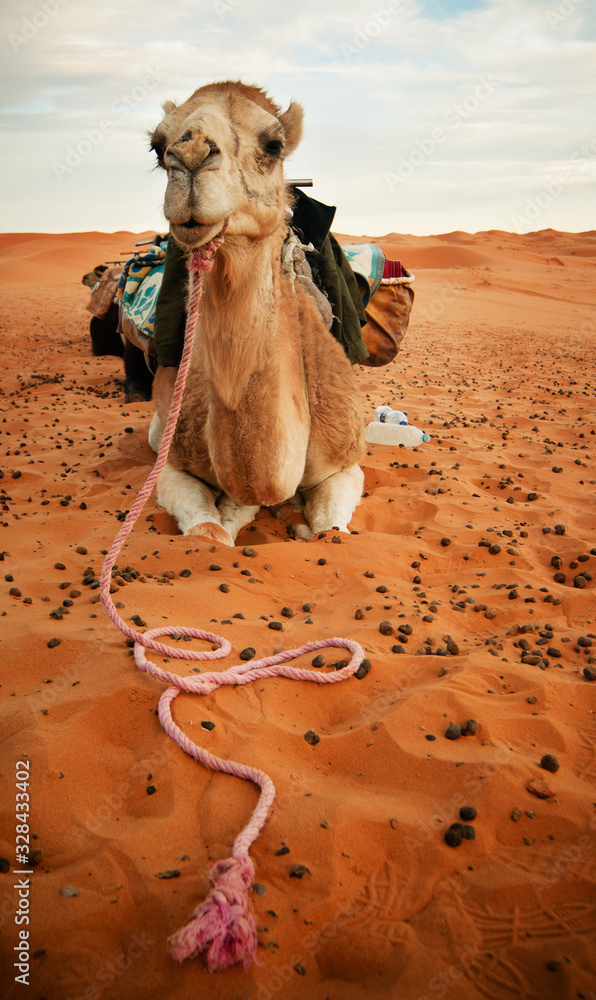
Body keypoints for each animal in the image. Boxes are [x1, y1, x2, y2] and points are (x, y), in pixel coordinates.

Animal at [147, 81, 364, 545]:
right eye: (157, 146)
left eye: (274, 144)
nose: (190, 155)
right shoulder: (173, 463)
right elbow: (209, 532)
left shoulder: (346, 463)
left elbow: (332, 532)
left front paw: (300, 522)